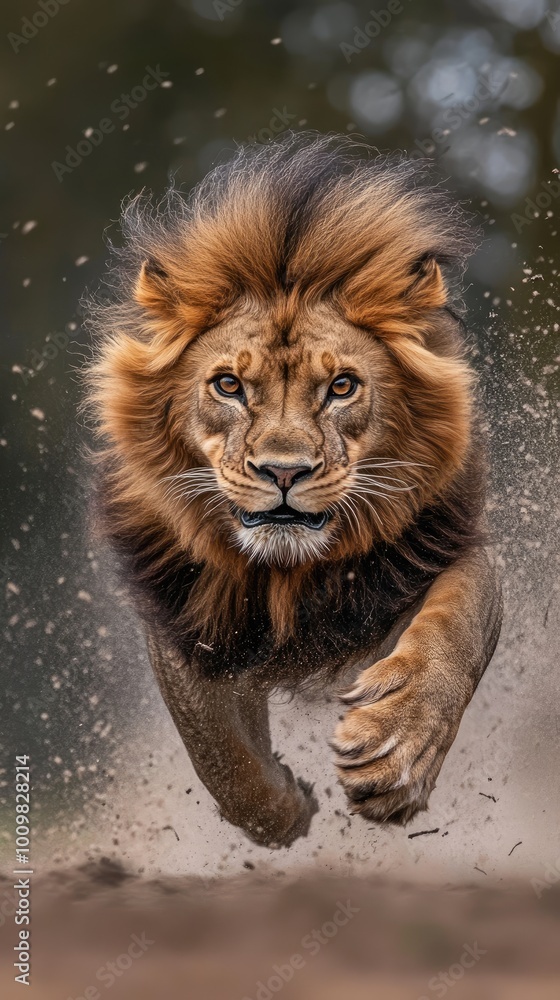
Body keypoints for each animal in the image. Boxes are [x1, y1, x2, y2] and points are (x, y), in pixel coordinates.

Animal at [85, 133, 503, 847]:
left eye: (342, 386)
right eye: (228, 385)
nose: (284, 473)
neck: (287, 577)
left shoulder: (448, 546)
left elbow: (456, 631)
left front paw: (395, 751)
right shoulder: (185, 619)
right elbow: (214, 746)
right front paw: (282, 811)